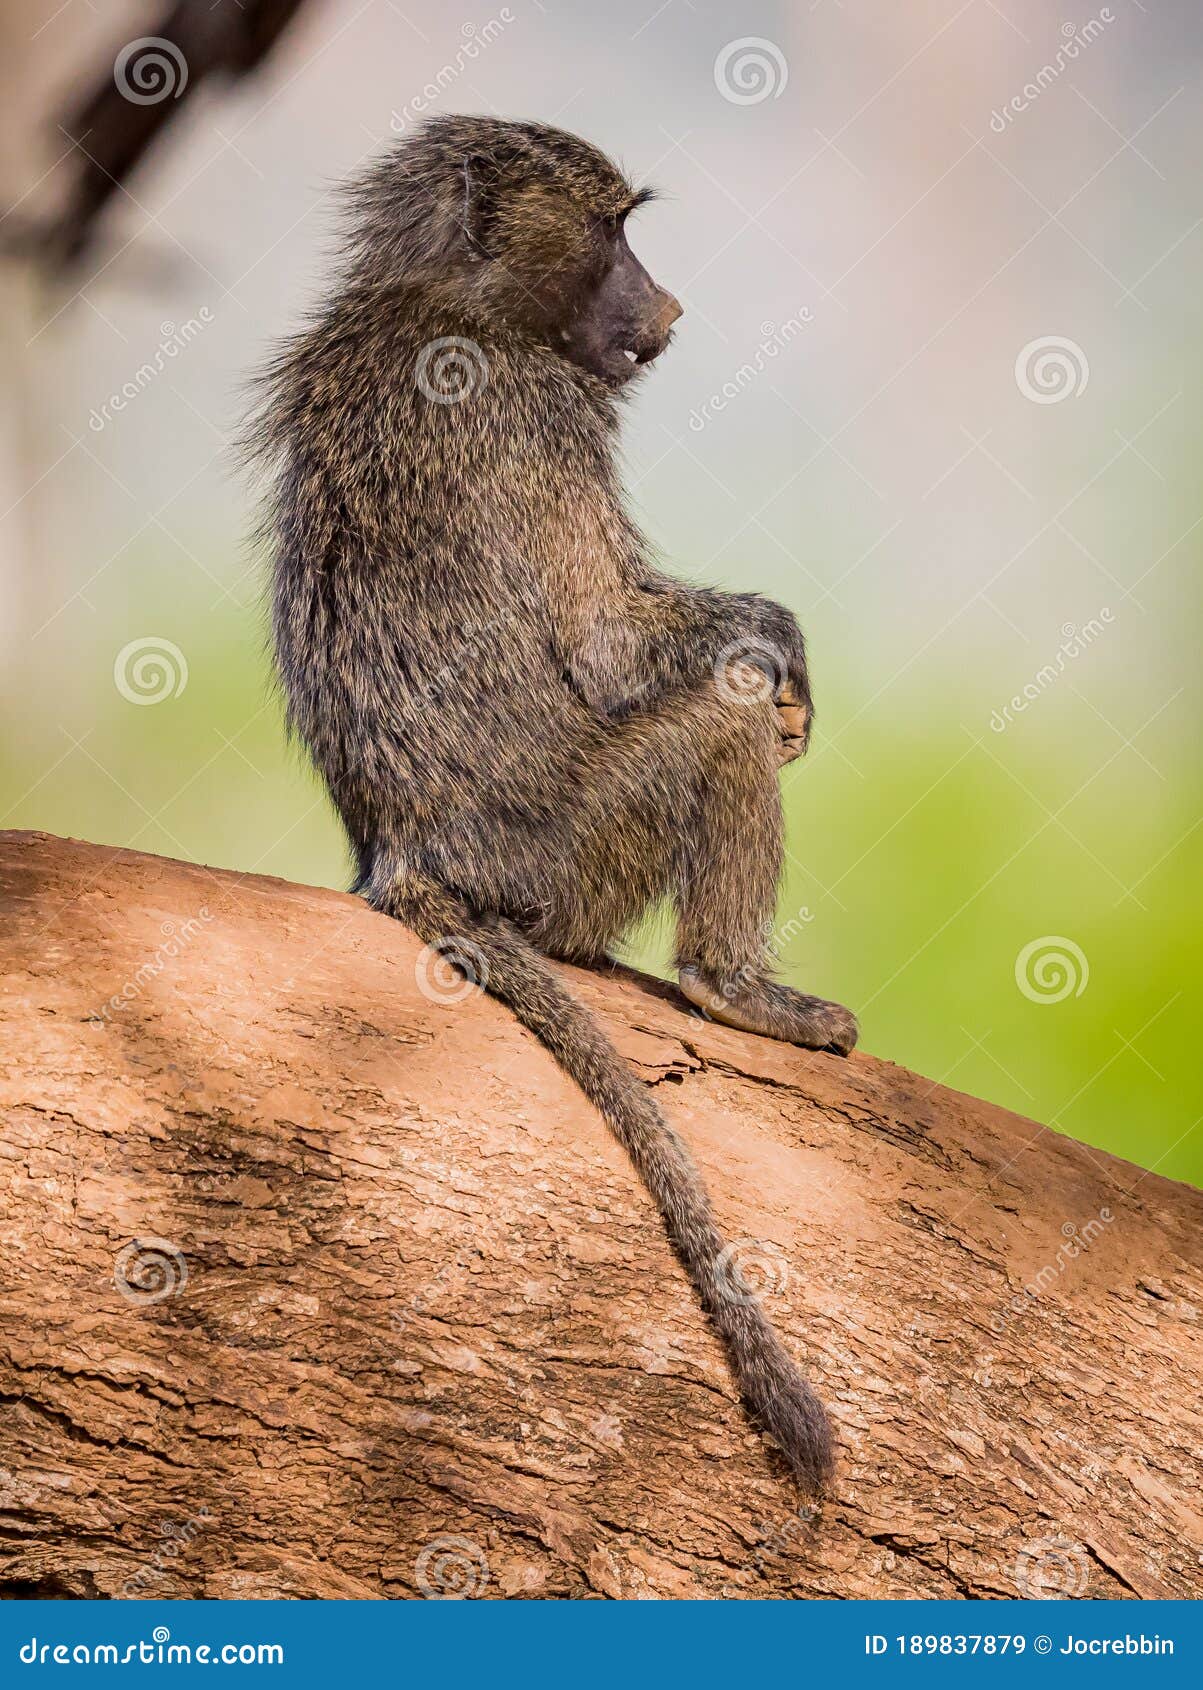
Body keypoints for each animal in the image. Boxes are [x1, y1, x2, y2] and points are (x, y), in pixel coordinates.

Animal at [246, 114, 858, 1493]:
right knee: (714, 717)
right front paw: (776, 644)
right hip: (576, 846)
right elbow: (612, 643)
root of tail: (409, 857)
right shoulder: (545, 411)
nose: (669, 308)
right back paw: (734, 986)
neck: (439, 298)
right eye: (613, 230)